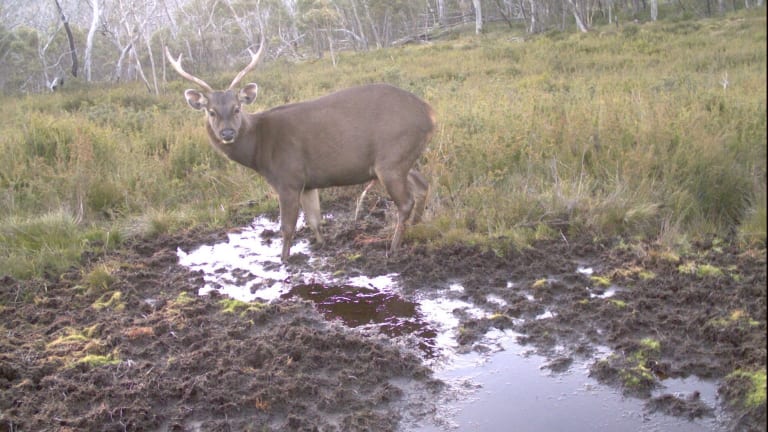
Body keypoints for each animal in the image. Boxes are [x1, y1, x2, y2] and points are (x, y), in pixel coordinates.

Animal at [164, 37, 435, 262]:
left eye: (237, 108)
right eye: (211, 111)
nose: (228, 133)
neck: (259, 152)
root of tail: (428, 112)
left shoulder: (288, 177)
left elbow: (287, 227)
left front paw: (283, 260)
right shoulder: (309, 183)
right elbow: (315, 221)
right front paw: (321, 246)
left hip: (392, 155)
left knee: (406, 201)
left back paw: (394, 247)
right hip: (403, 158)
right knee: (423, 184)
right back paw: (417, 227)